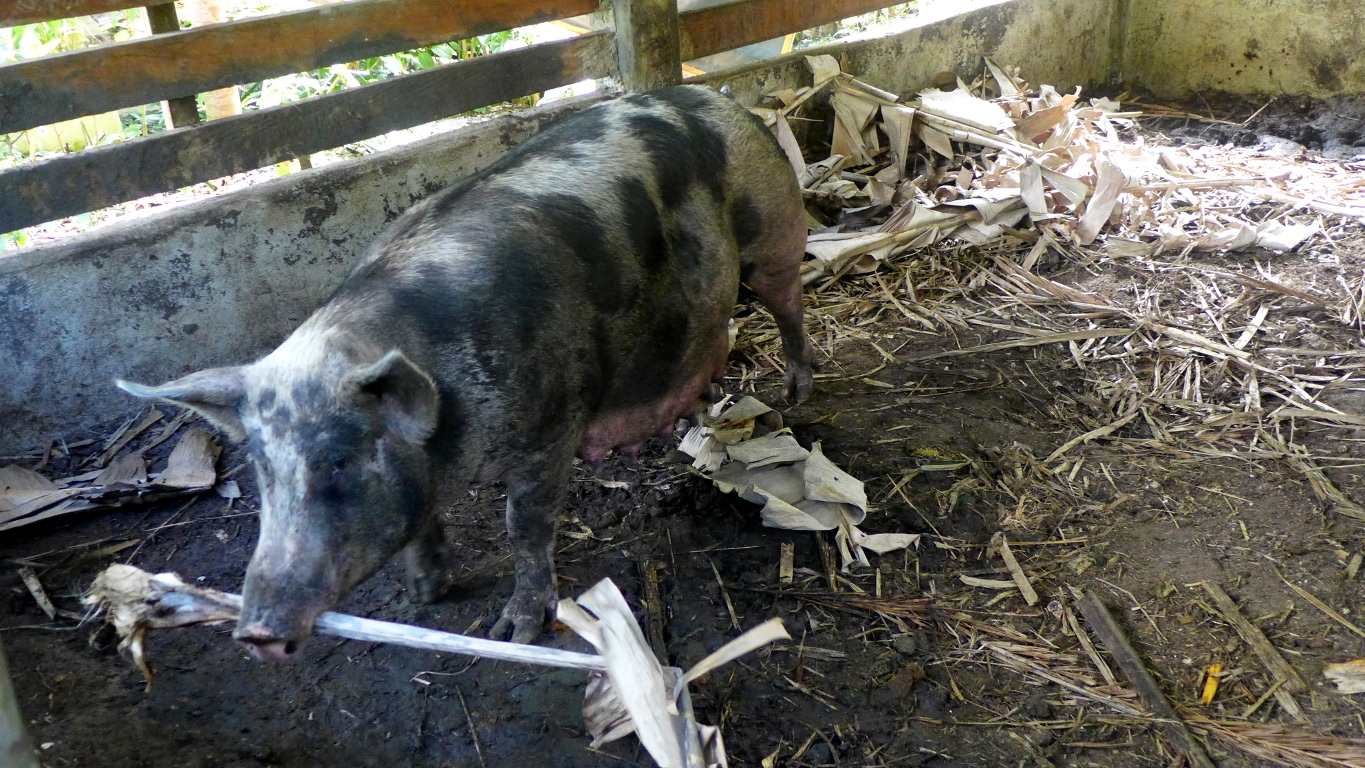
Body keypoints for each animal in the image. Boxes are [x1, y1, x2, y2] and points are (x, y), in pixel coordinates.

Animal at [117, 85, 814, 659]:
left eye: (338, 461)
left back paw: (794, 392)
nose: (257, 631)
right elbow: (423, 525)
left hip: (774, 227)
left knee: (789, 302)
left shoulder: (549, 429)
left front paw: (513, 631)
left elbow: (524, 528)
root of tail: (719, 100)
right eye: (263, 469)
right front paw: (425, 595)